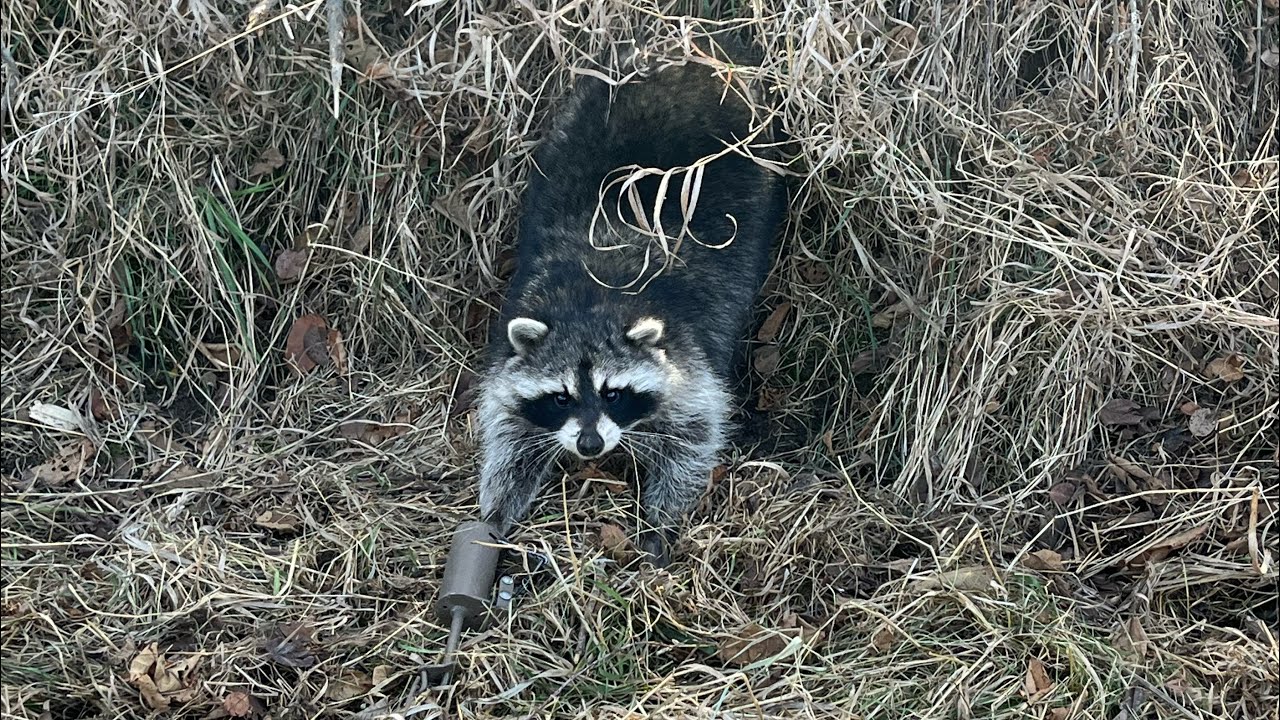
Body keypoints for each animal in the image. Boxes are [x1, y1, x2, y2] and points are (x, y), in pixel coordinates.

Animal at [474, 34, 788, 565]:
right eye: (560, 397)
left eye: (614, 393)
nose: (590, 445)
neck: (587, 307)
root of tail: (695, 46)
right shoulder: (516, 328)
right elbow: (508, 429)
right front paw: (497, 507)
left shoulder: (688, 355)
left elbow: (696, 435)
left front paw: (660, 520)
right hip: (579, 111)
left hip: (756, 151)